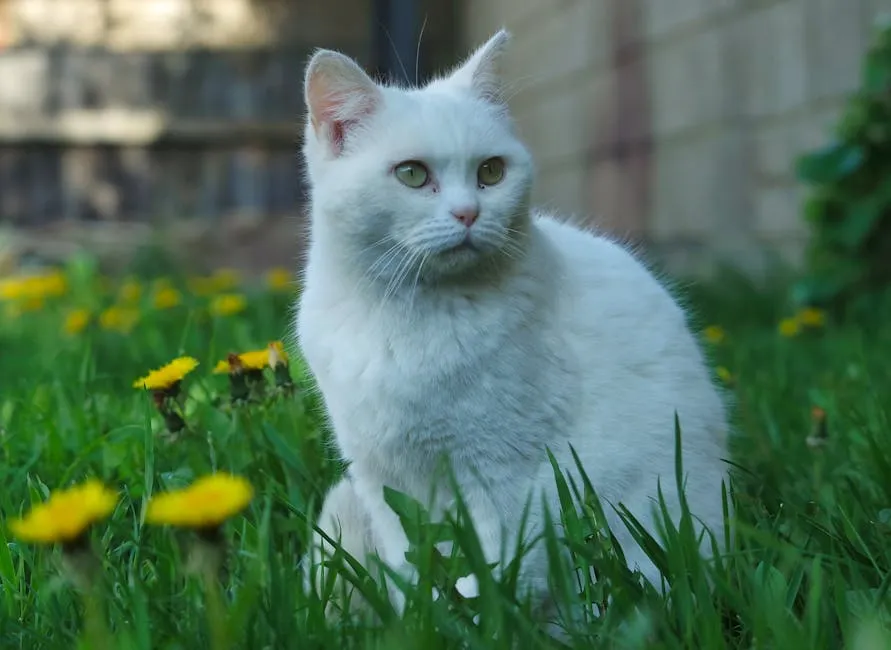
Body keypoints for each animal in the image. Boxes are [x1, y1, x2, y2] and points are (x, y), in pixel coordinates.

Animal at [298, 30, 732, 616]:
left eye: (491, 171)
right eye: (411, 174)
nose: (468, 214)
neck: (406, 314)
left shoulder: (502, 475)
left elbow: (488, 572)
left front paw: (475, 618)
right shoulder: (381, 481)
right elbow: (410, 569)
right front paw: (422, 620)